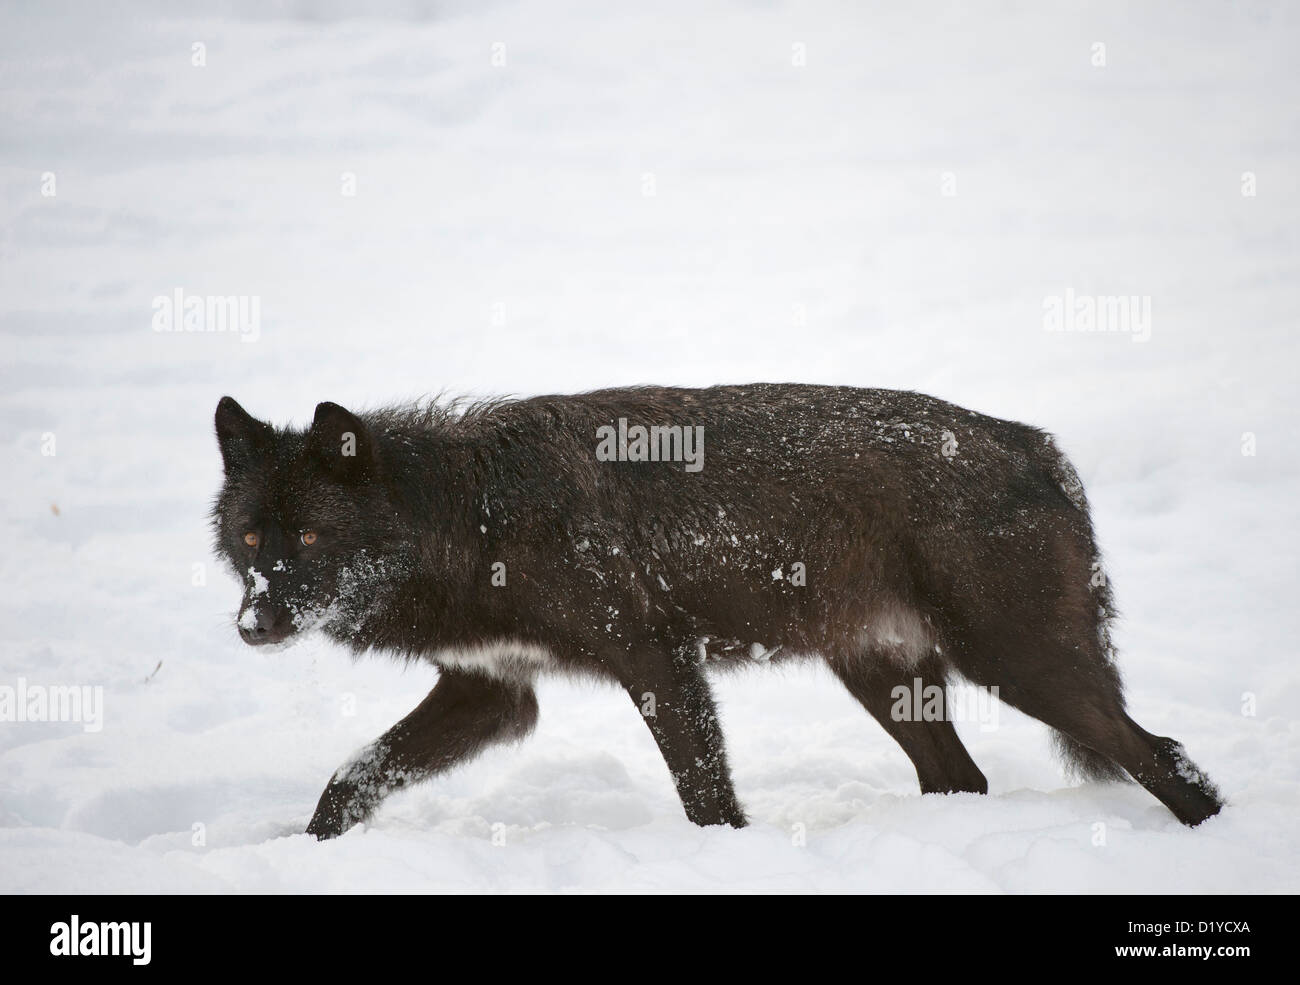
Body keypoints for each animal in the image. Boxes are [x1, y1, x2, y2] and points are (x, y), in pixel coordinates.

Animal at [211, 384, 1223, 839]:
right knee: (963, 779)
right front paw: (308, 851)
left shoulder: (658, 658)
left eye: (310, 538)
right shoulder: (492, 693)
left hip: (1017, 664)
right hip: (886, 677)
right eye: (252, 540)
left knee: (1166, 758)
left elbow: (705, 793)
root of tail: (1039, 444)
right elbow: (350, 778)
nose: (252, 627)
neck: (475, 515)